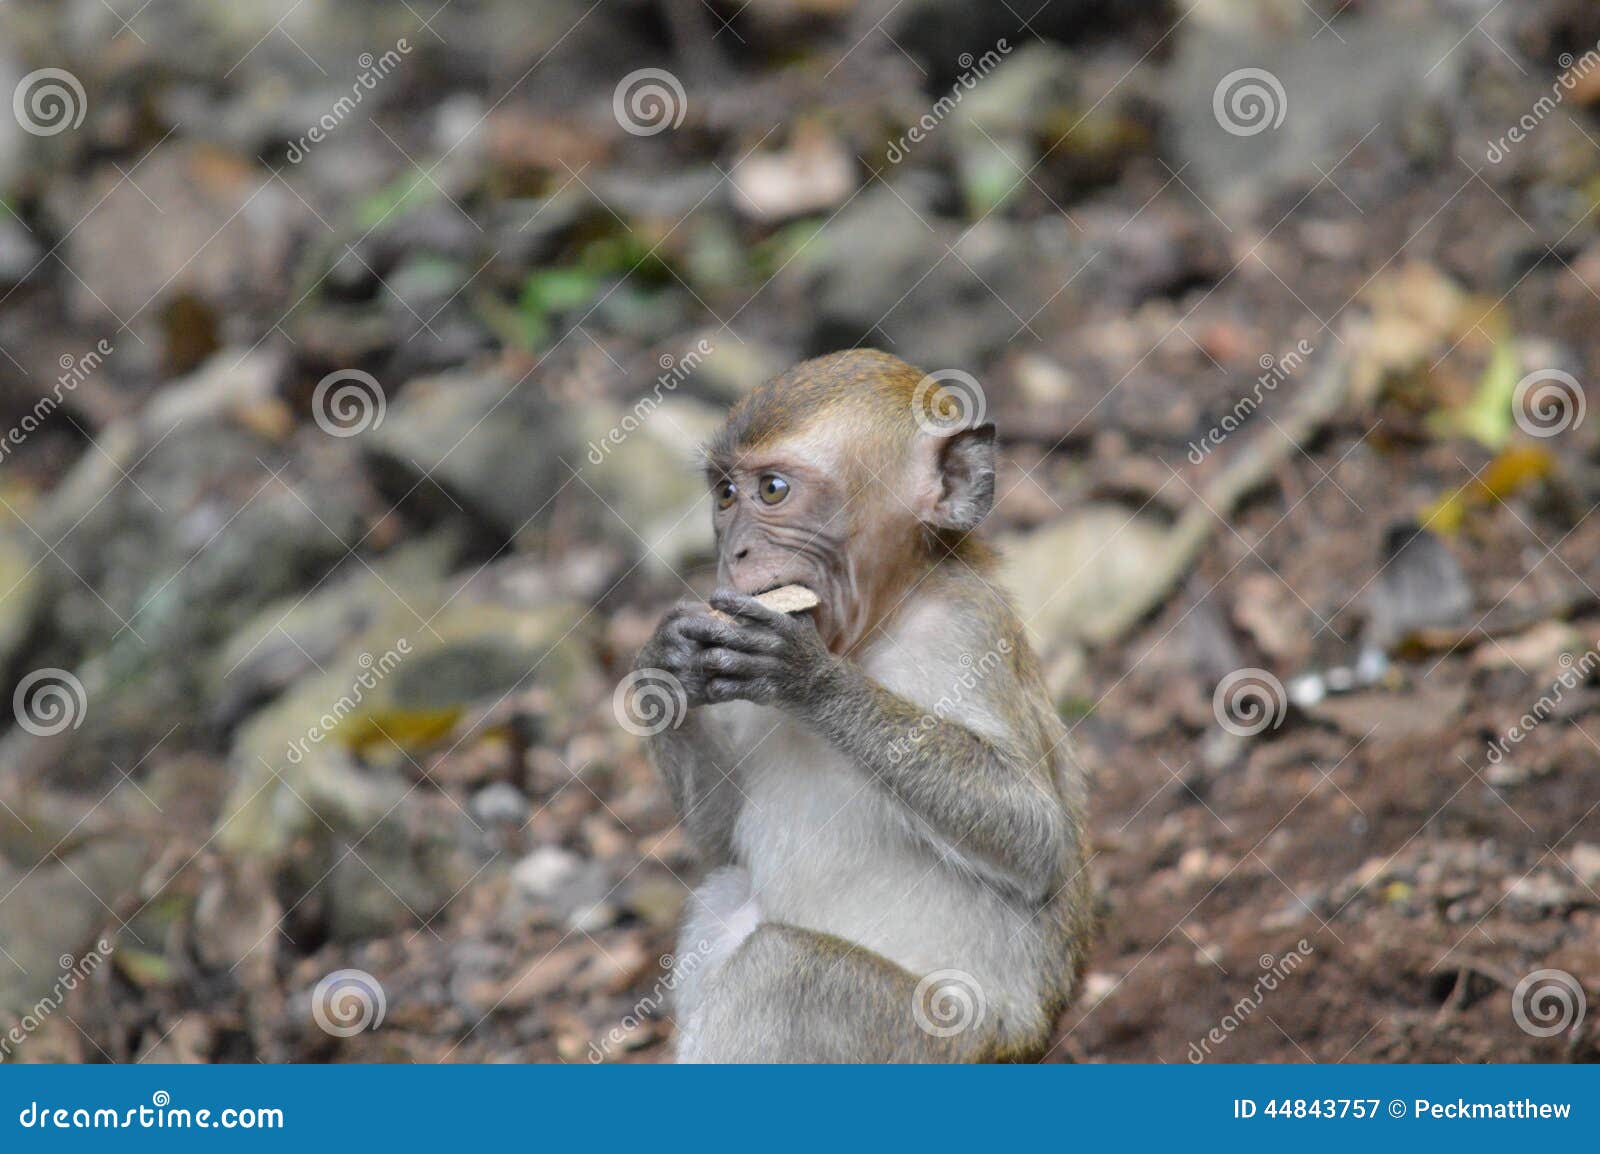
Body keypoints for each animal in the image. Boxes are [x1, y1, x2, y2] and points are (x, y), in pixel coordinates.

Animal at [634, 349, 1091, 1062]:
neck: (875, 628)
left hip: (936, 1041)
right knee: (726, 896)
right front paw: (666, 658)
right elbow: (720, 841)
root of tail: (1031, 1042)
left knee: (780, 969)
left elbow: (1036, 836)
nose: (733, 551)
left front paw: (809, 678)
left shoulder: (965, 630)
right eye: (725, 495)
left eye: (772, 490)